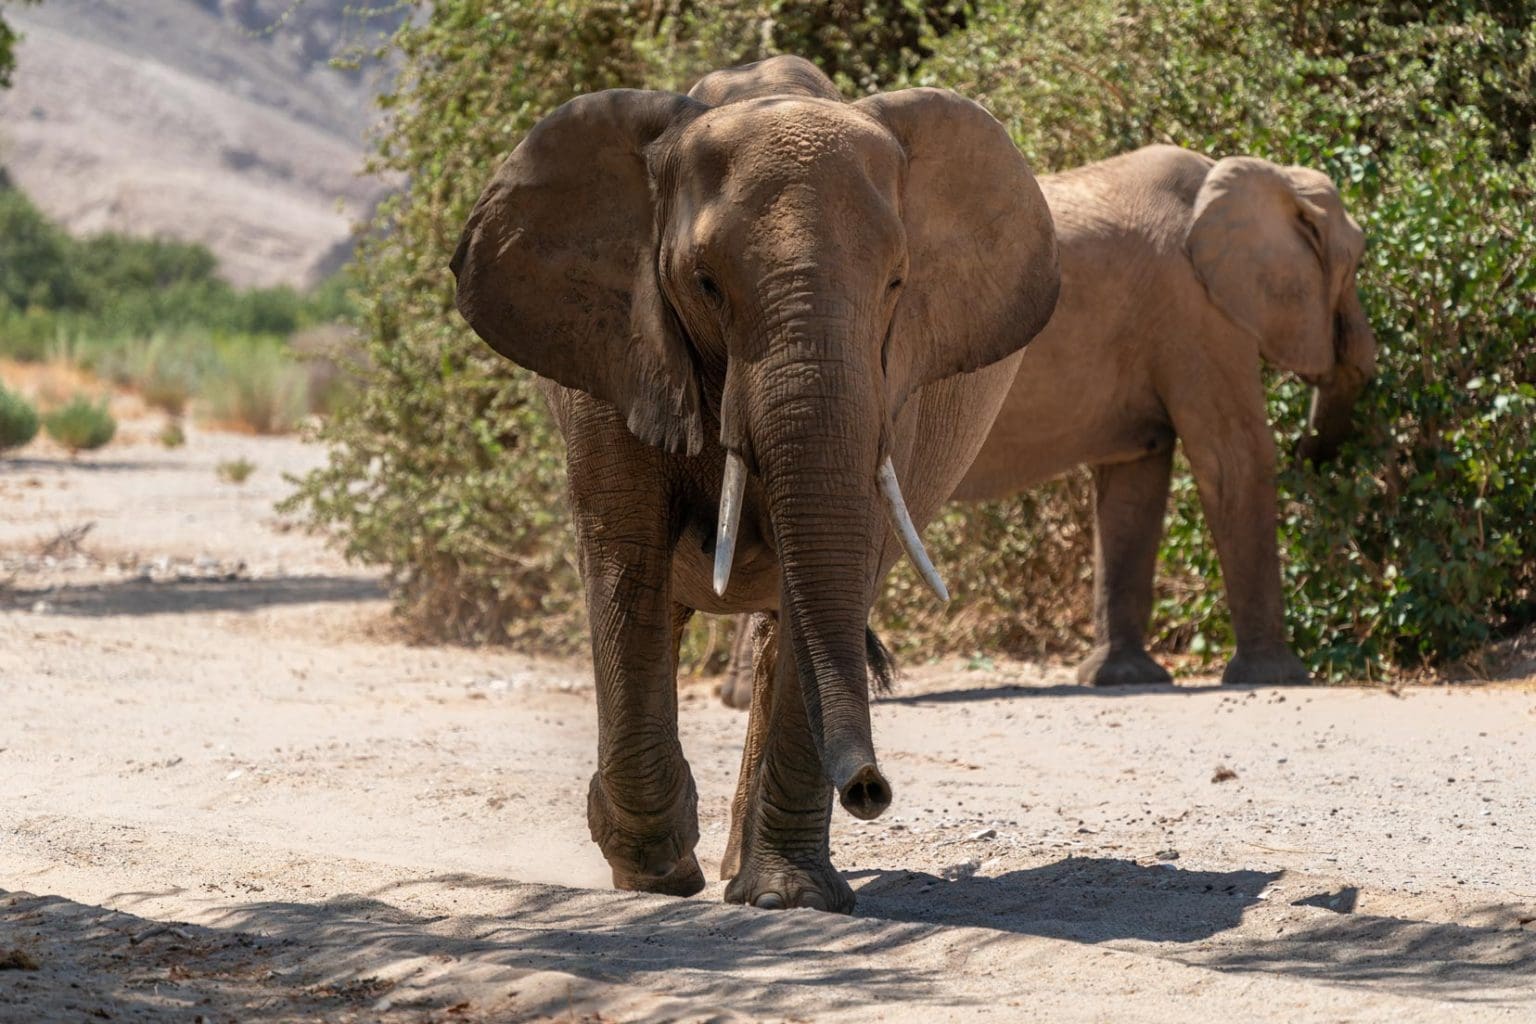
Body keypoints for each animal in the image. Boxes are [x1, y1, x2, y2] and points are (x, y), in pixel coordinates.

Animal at [451, 56, 1059, 912]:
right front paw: (656, 872)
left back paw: (748, 872)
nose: (871, 790)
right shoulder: (618, 345)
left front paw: (788, 896)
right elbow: (625, 559)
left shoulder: (892, 385)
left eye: (897, 282)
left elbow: (840, 564)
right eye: (705, 283)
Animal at [717, 144, 1377, 707]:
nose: (1319, 455)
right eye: (1358, 262)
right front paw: (1279, 678)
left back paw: (742, 696)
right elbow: (1235, 458)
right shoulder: (1198, 314)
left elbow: (1134, 482)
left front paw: (1119, 679)